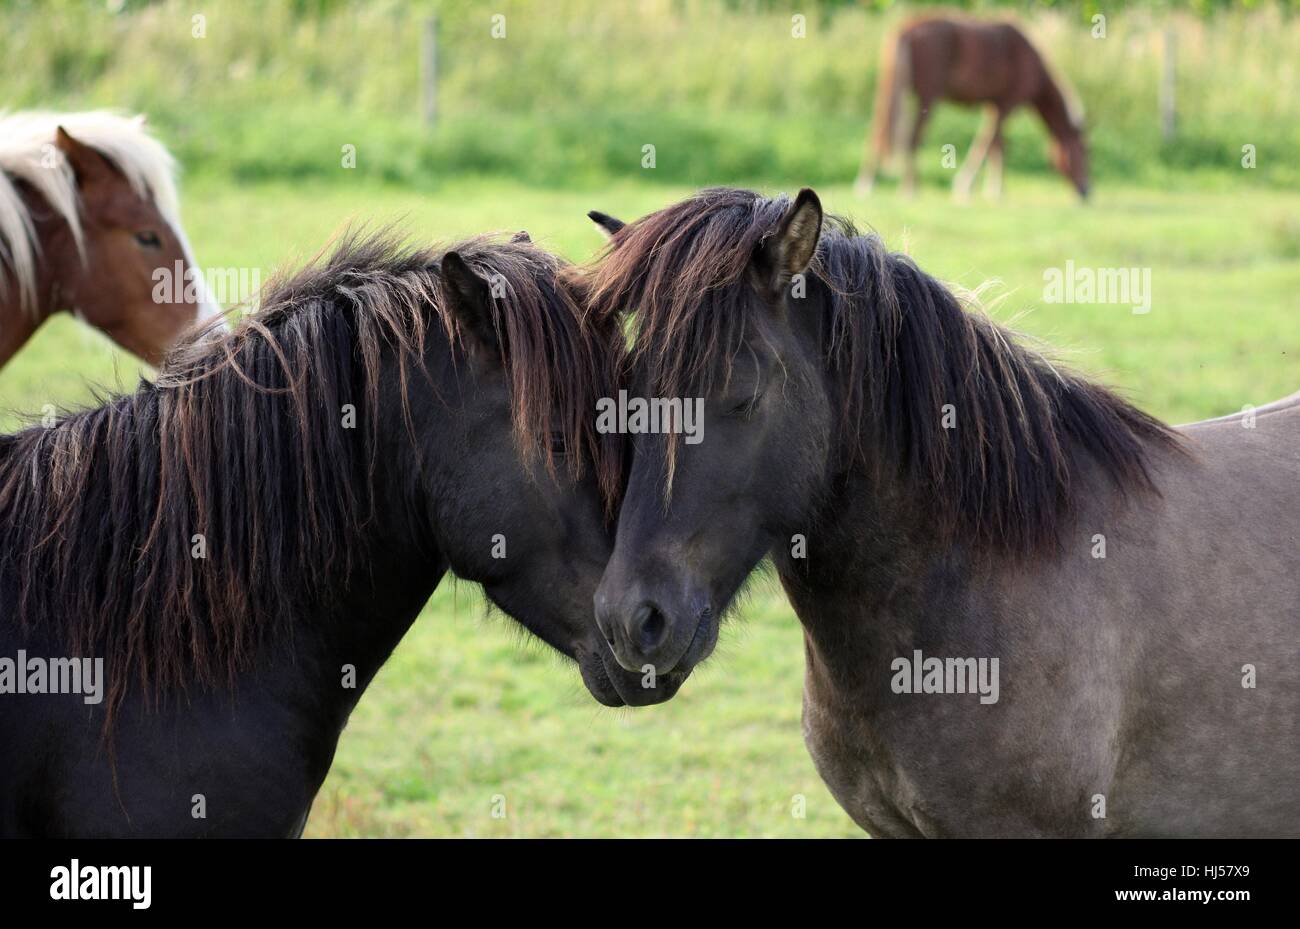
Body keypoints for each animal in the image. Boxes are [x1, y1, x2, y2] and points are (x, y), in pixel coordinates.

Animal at [854, 16, 1089, 201]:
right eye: (1085, 151)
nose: (1086, 192)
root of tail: (906, 27)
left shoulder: (993, 105)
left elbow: (994, 145)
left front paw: (991, 189)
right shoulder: (1007, 104)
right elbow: (991, 143)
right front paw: (976, 188)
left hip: (890, 91)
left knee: (878, 131)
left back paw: (866, 183)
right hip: (928, 96)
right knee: (913, 137)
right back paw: (910, 188)